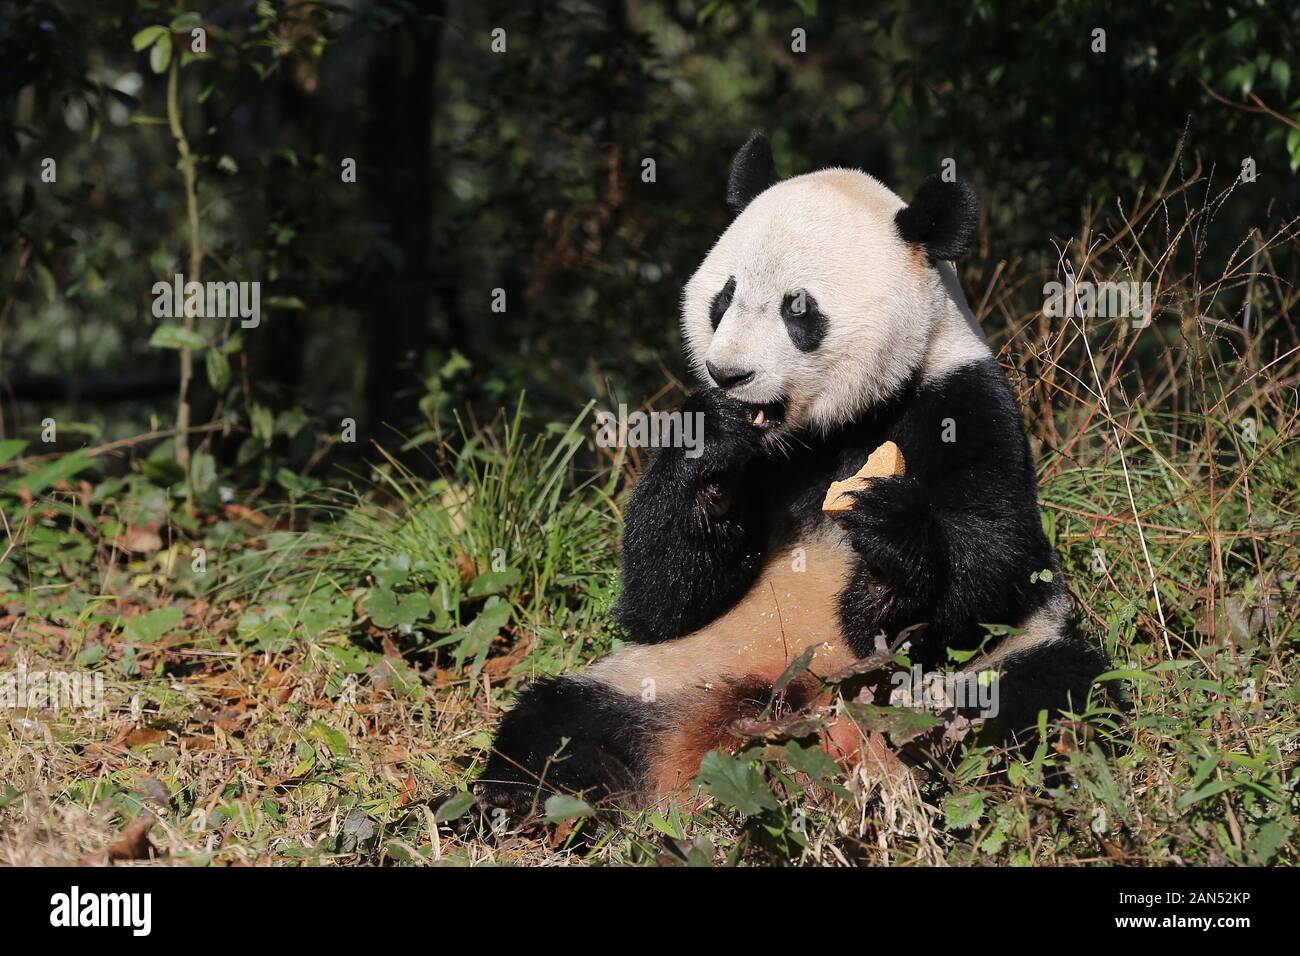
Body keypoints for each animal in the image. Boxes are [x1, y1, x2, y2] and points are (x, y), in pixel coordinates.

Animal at [478, 132, 1115, 812]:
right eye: (723, 298)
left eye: (798, 310)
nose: (729, 373)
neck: (829, 427)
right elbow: (662, 601)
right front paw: (711, 449)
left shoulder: (962, 401)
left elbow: (993, 568)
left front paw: (887, 541)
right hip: (676, 674)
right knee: (559, 726)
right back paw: (525, 812)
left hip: (947, 688)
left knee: (1042, 695)